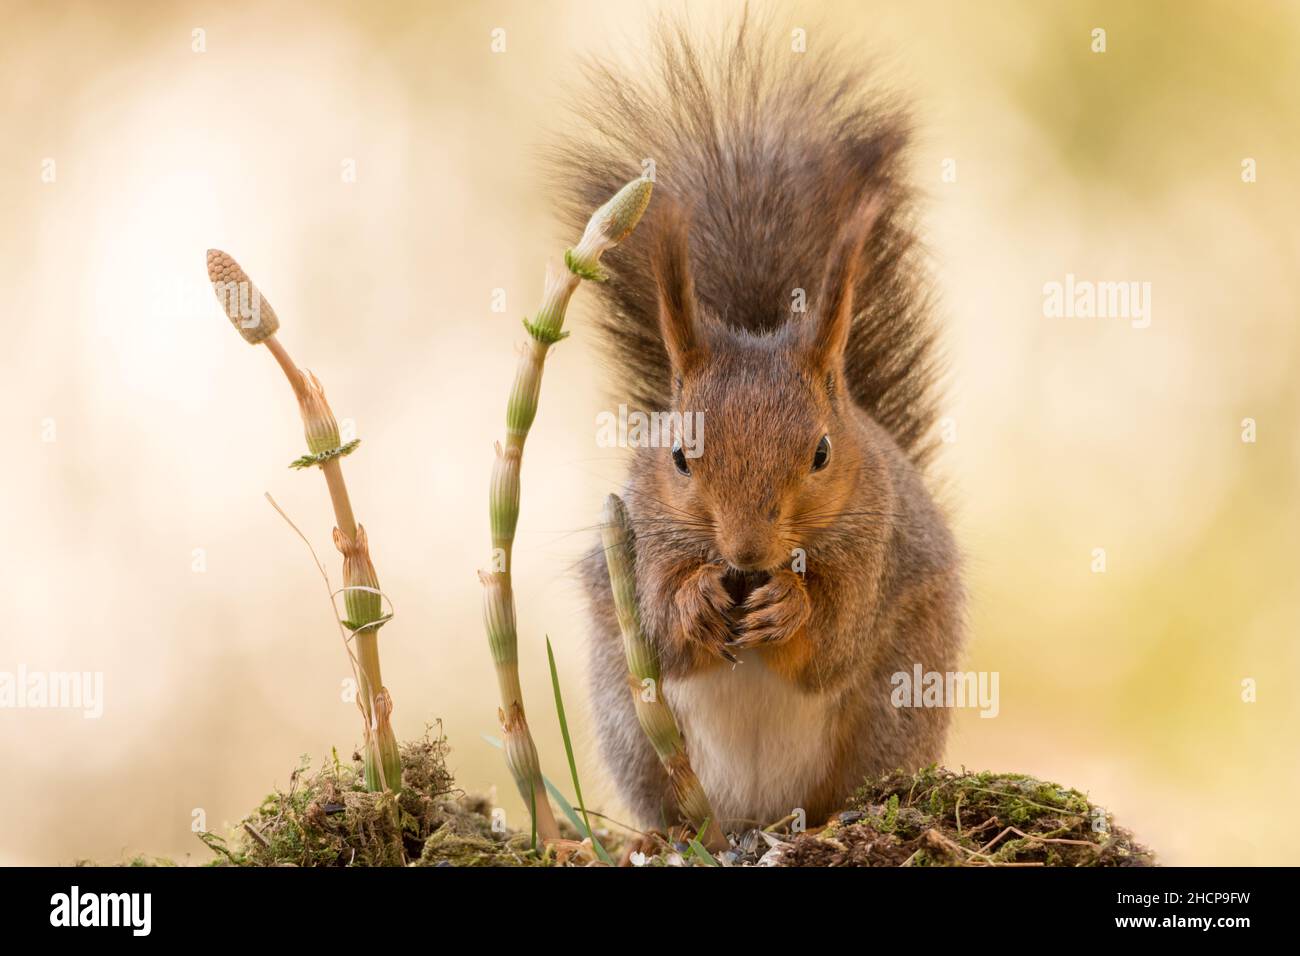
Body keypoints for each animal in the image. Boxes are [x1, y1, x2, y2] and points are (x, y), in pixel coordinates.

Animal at [556, 16, 964, 832]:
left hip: (896, 706)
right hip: (628, 719)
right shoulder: (643, 539)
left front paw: (790, 606)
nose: (745, 553)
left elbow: (830, 645)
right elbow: (661, 635)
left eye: (823, 452)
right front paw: (697, 601)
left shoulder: (872, 547)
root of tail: (758, 816)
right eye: (679, 456)